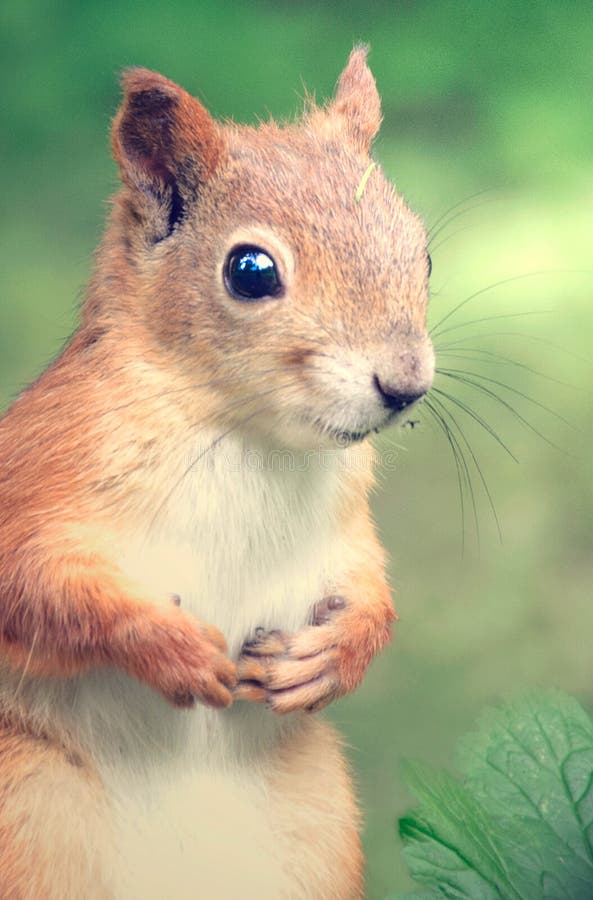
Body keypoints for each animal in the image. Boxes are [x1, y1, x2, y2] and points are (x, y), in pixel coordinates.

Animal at [0, 46, 434, 899]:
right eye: (251, 270)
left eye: (421, 249)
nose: (405, 385)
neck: (242, 434)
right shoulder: (38, 469)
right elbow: (33, 586)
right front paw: (170, 647)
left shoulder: (344, 528)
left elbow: (371, 591)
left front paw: (336, 654)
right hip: (29, 808)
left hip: (318, 821)